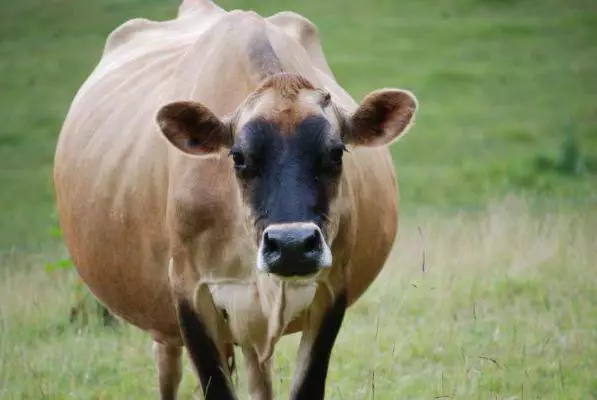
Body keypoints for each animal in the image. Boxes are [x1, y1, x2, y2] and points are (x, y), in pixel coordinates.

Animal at [54, 1, 420, 398]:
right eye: (239, 157)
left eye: (336, 153)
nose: (292, 245)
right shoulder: (189, 292)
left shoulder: (332, 286)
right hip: (165, 325)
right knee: (168, 371)